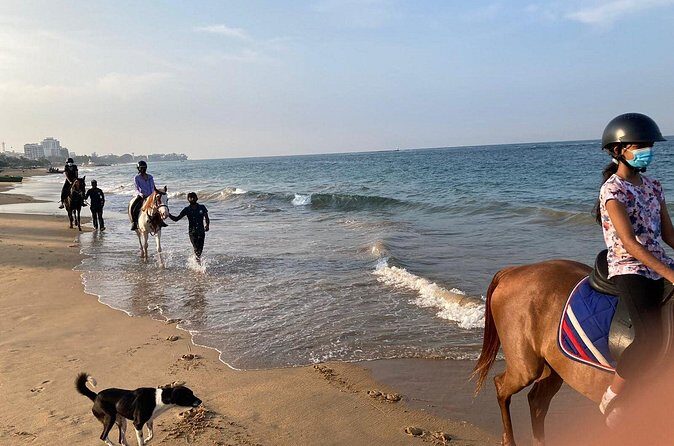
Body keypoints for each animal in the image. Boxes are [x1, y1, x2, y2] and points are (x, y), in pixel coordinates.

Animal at [471, 259, 612, 446]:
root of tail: (512, 271)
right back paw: (509, 440)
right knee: (502, 386)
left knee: (537, 402)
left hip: (553, 370)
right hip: (525, 368)